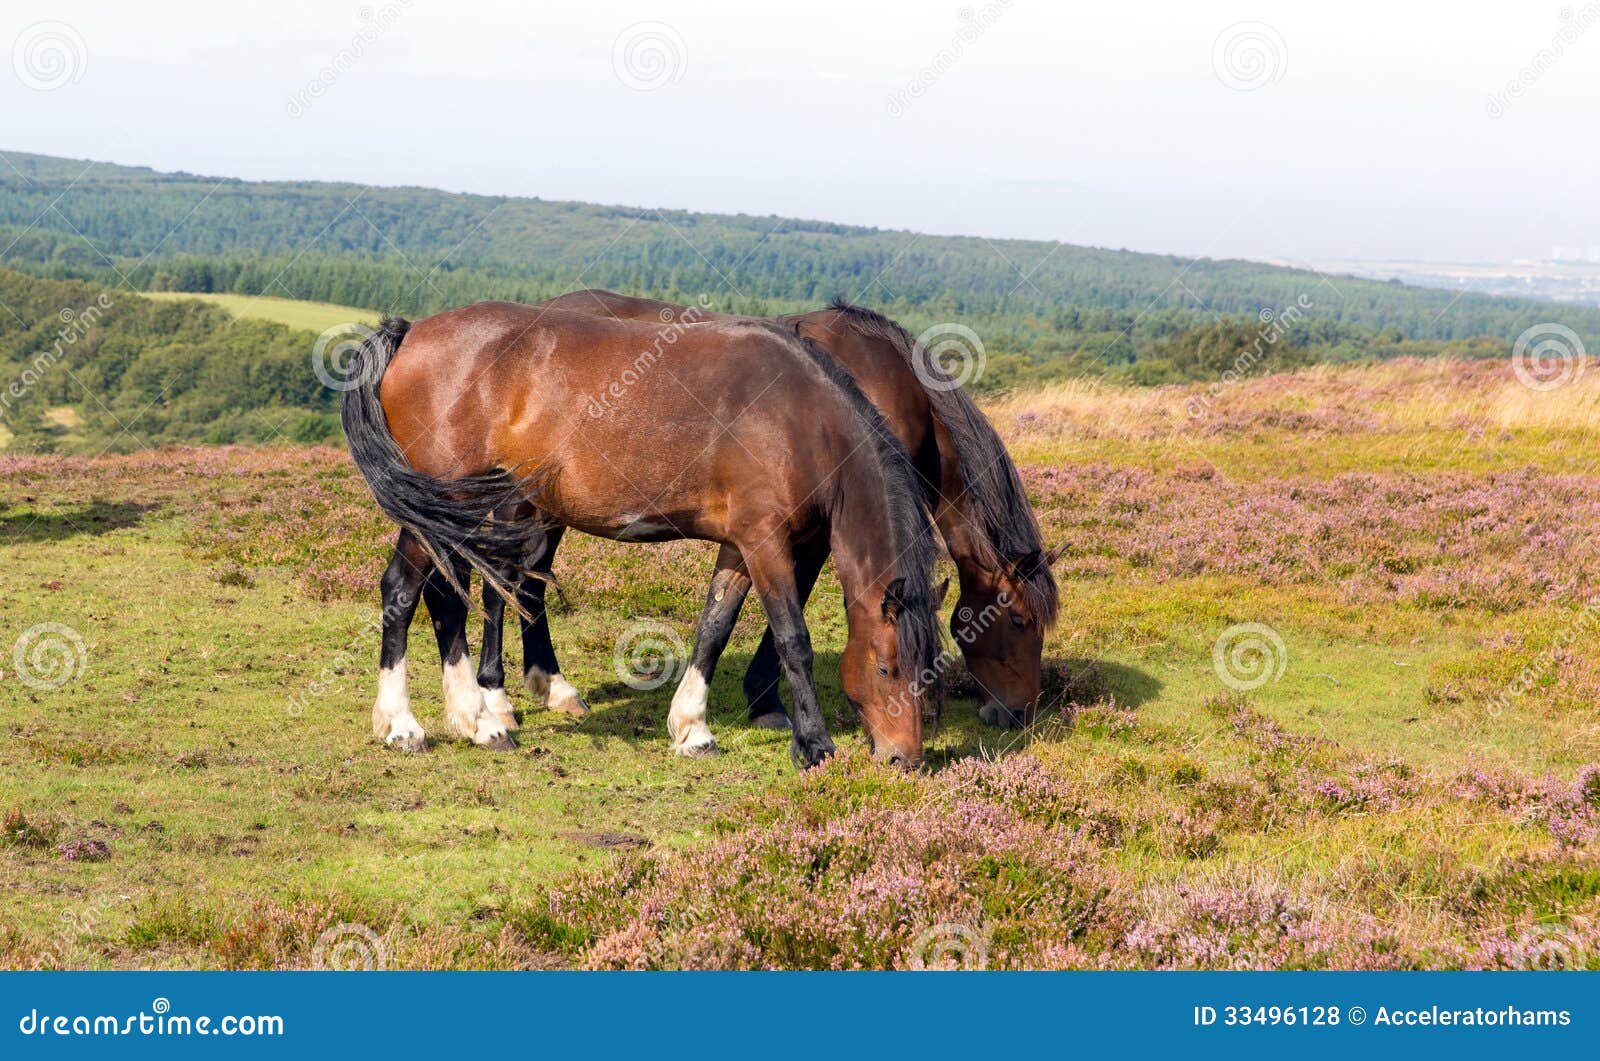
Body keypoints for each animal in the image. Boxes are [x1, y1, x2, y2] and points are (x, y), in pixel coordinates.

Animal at [341, 302, 943, 768]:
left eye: (927, 671)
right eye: (886, 667)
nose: (905, 759)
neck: (800, 420)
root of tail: (411, 333)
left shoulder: (738, 545)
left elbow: (714, 626)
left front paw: (692, 728)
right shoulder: (766, 541)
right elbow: (793, 638)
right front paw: (814, 745)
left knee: (448, 594)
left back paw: (476, 718)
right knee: (406, 591)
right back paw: (412, 724)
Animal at [458, 291, 1062, 733]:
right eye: (1018, 620)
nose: (1018, 715)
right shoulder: (812, 531)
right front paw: (768, 703)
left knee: (525, 583)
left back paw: (550, 688)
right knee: (502, 583)